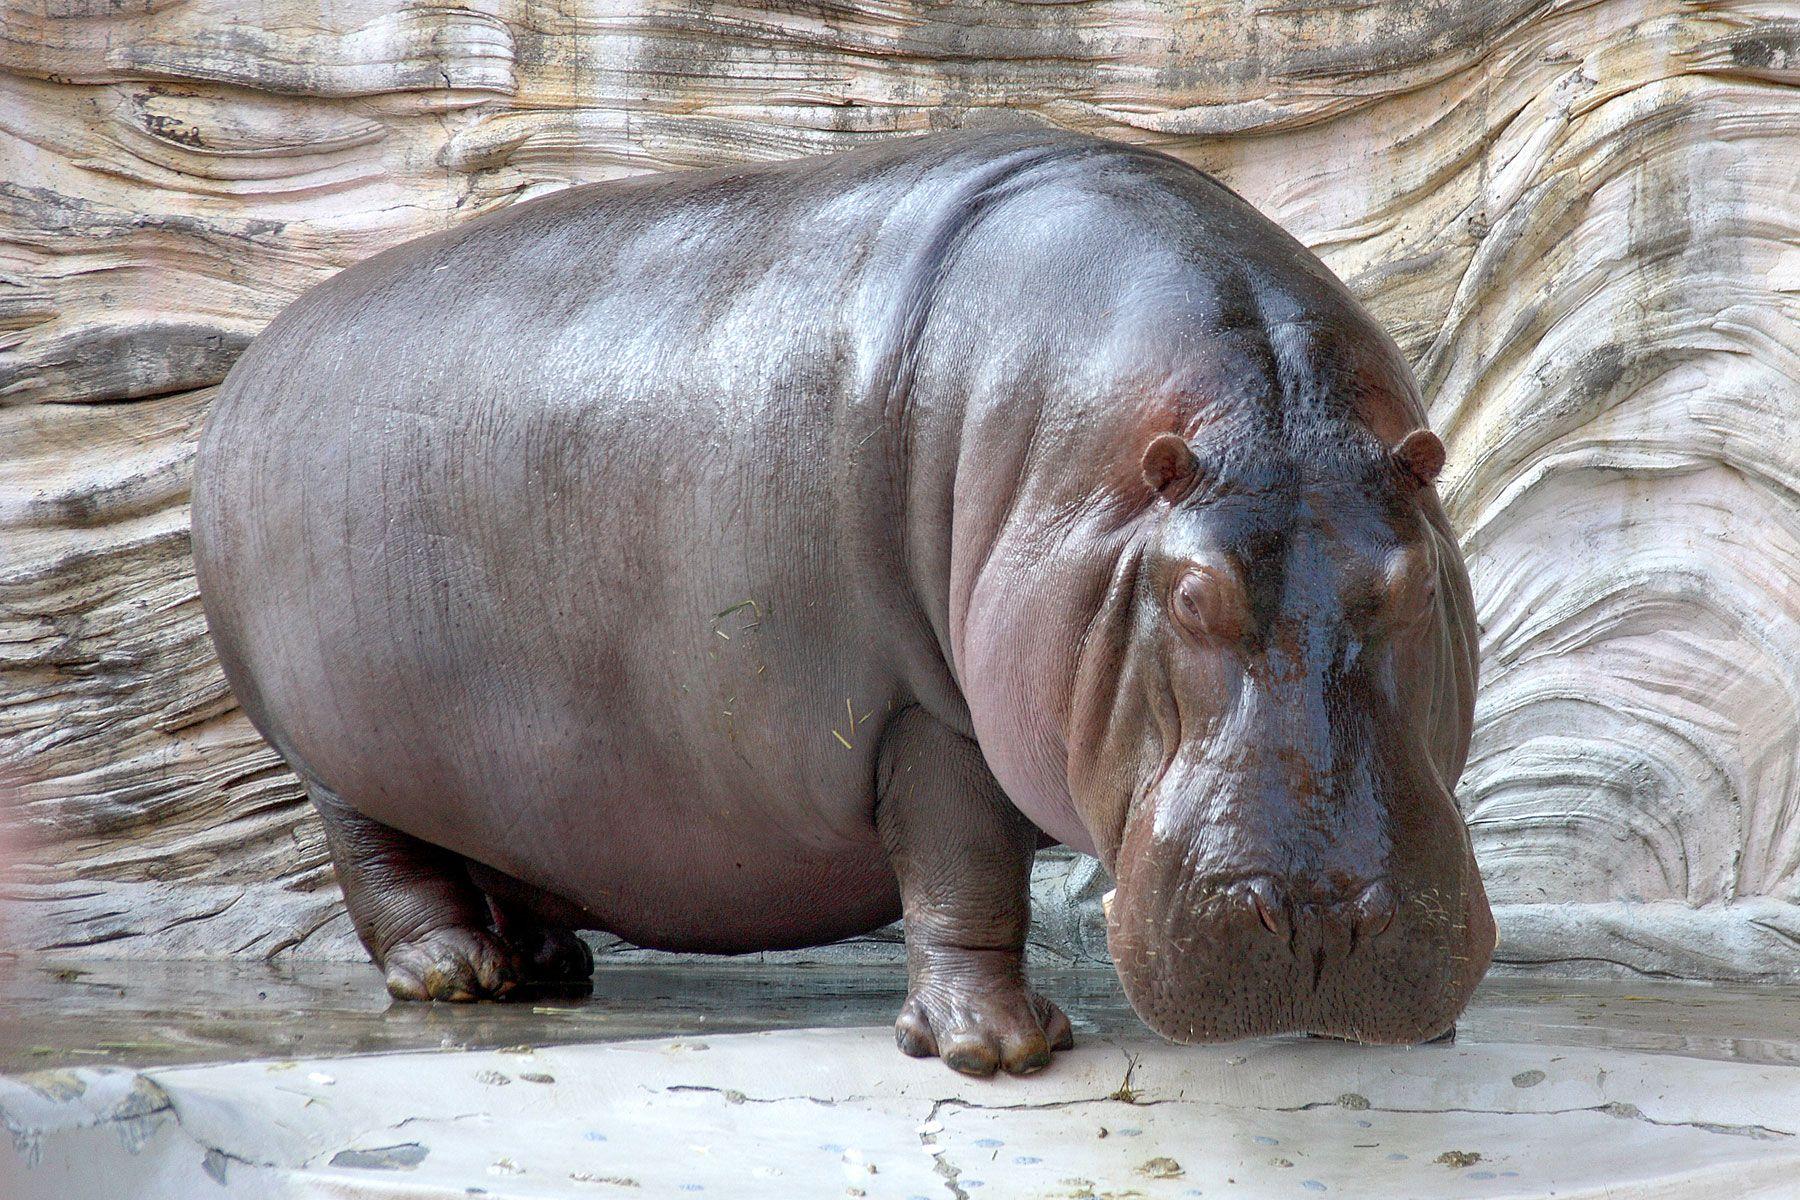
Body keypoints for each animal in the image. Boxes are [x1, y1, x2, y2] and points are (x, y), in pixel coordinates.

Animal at [192, 128, 1494, 1076]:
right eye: (1187, 593)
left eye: (1413, 582)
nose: (1323, 921)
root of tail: (253, 368)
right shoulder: (927, 711)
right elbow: (965, 872)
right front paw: (997, 1052)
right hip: (329, 749)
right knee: (383, 865)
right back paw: (457, 976)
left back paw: (550, 961)